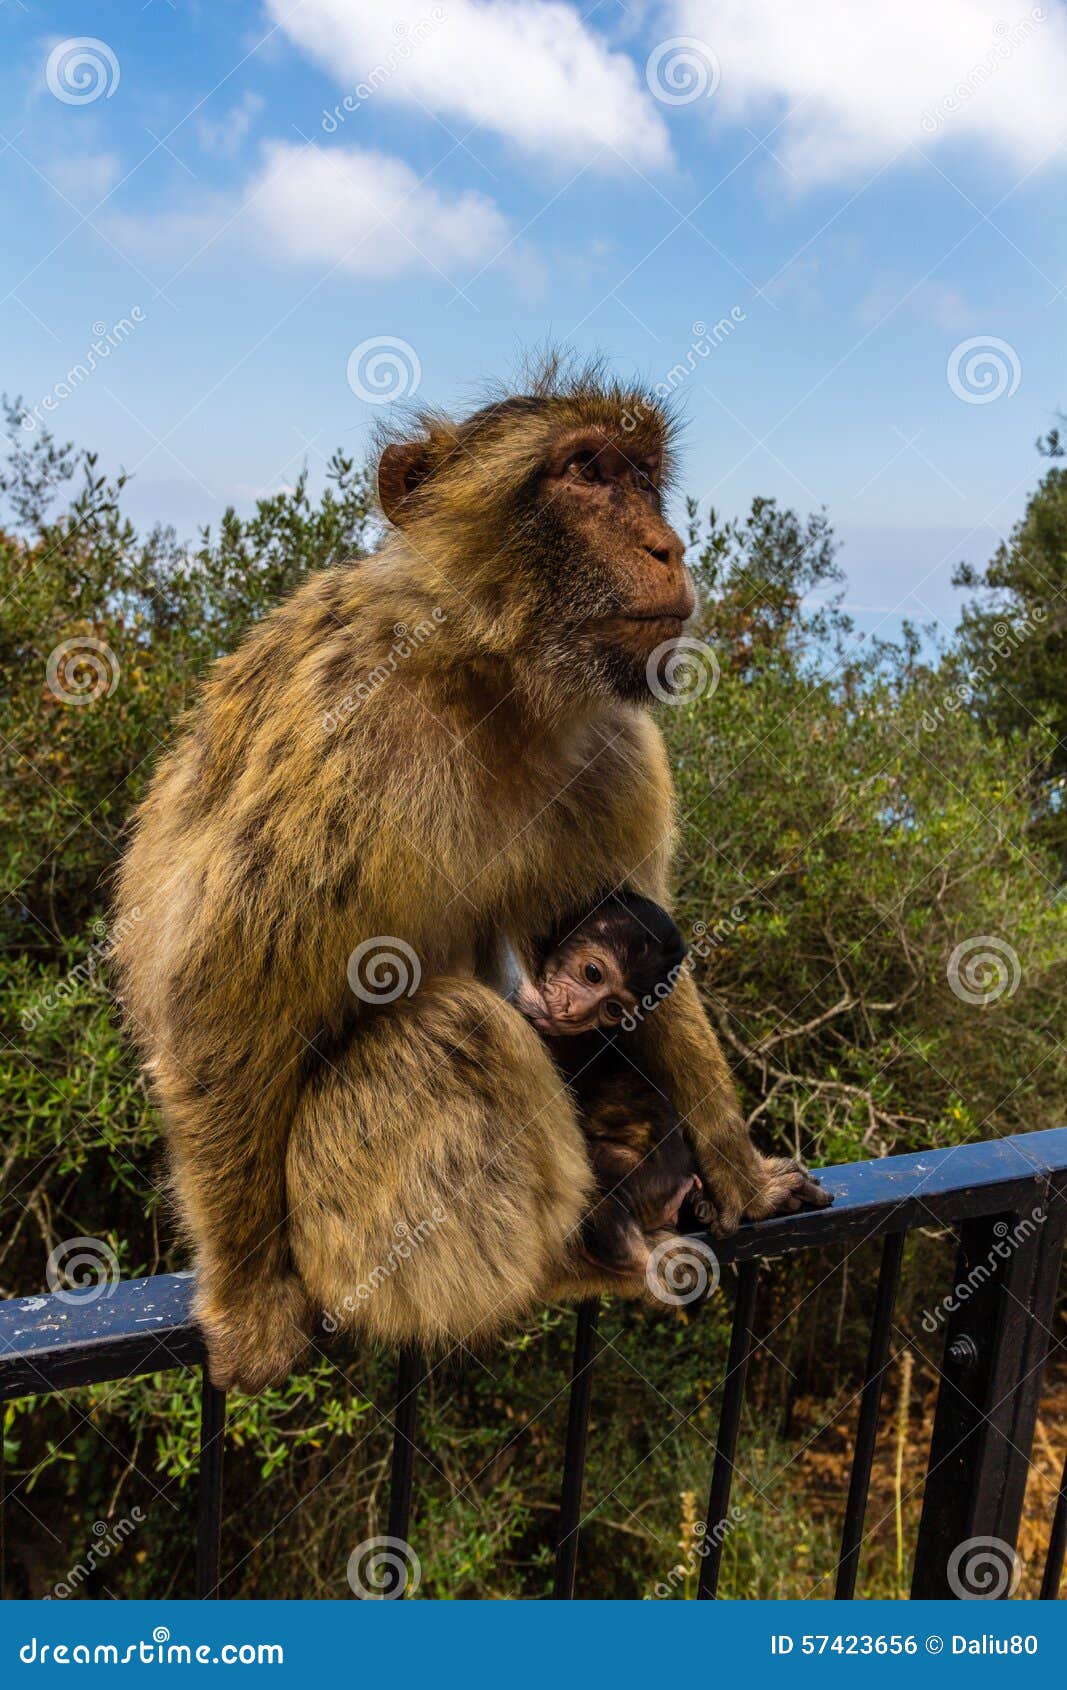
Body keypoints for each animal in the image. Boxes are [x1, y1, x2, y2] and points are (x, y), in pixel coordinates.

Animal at [113, 356, 831, 1394]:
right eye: (584, 472)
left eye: (640, 477)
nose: (667, 545)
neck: (493, 681)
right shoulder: (338, 732)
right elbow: (225, 998)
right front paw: (250, 1307)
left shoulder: (612, 749)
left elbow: (642, 945)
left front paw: (741, 1174)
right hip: (336, 1236)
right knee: (448, 1031)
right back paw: (569, 1264)